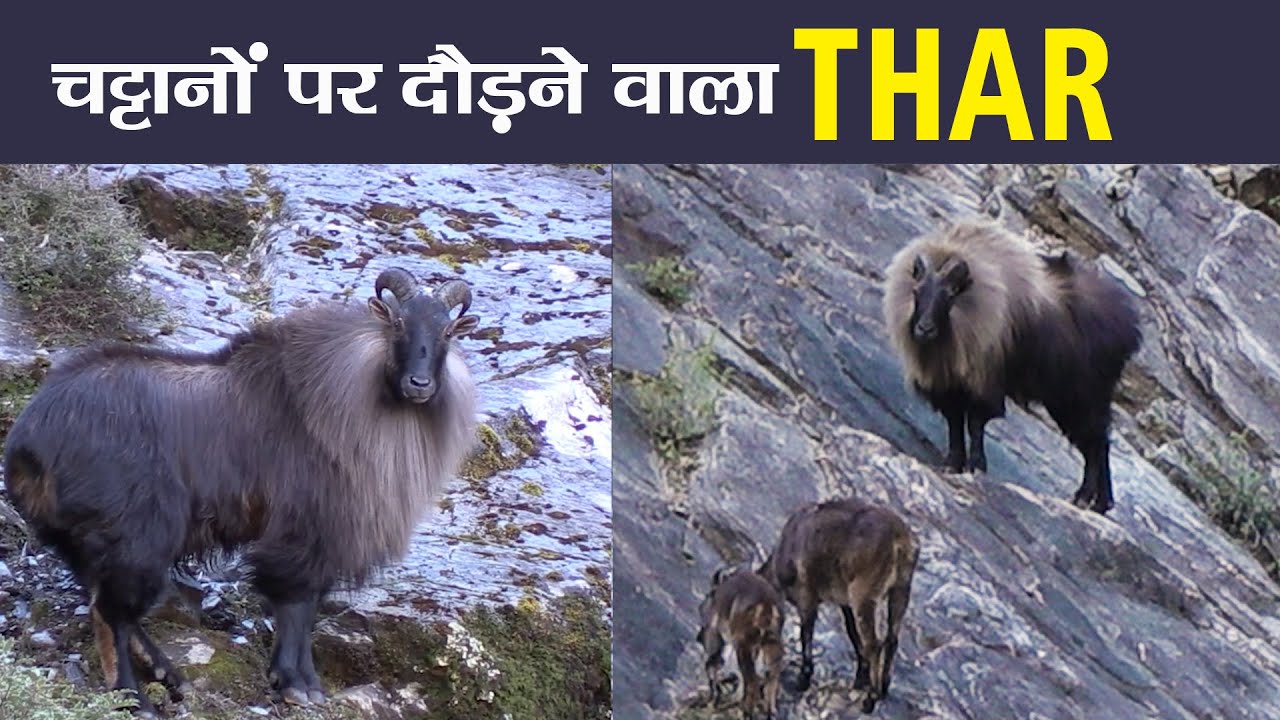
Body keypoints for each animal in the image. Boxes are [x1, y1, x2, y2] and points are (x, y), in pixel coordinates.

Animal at [2, 267, 479, 716]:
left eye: (448, 331)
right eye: (397, 323)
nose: (419, 385)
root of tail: (28, 444)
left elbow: (306, 610)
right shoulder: (303, 537)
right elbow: (295, 608)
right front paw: (297, 684)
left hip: (90, 543)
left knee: (106, 602)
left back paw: (169, 675)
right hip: (135, 540)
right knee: (109, 614)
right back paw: (134, 698)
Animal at [695, 566, 784, 719]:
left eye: (709, 593)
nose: (701, 607)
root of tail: (767, 608)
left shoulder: (715, 634)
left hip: (745, 649)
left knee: (753, 684)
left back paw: (743, 711)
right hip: (772, 654)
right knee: (771, 687)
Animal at [759, 499, 918, 715]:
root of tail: (900, 541)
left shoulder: (807, 594)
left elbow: (806, 633)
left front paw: (804, 678)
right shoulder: (845, 603)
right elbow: (852, 633)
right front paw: (860, 677)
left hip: (864, 594)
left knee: (874, 644)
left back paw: (870, 699)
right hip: (901, 589)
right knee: (892, 639)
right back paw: (883, 688)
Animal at [882, 220, 1142, 514]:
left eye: (949, 293)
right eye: (917, 291)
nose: (924, 329)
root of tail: (1128, 325)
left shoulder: (984, 385)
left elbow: (975, 423)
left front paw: (976, 466)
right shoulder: (949, 388)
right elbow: (954, 425)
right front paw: (952, 464)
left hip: (1082, 398)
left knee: (1096, 444)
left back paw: (1085, 497)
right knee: (1098, 443)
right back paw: (1101, 503)